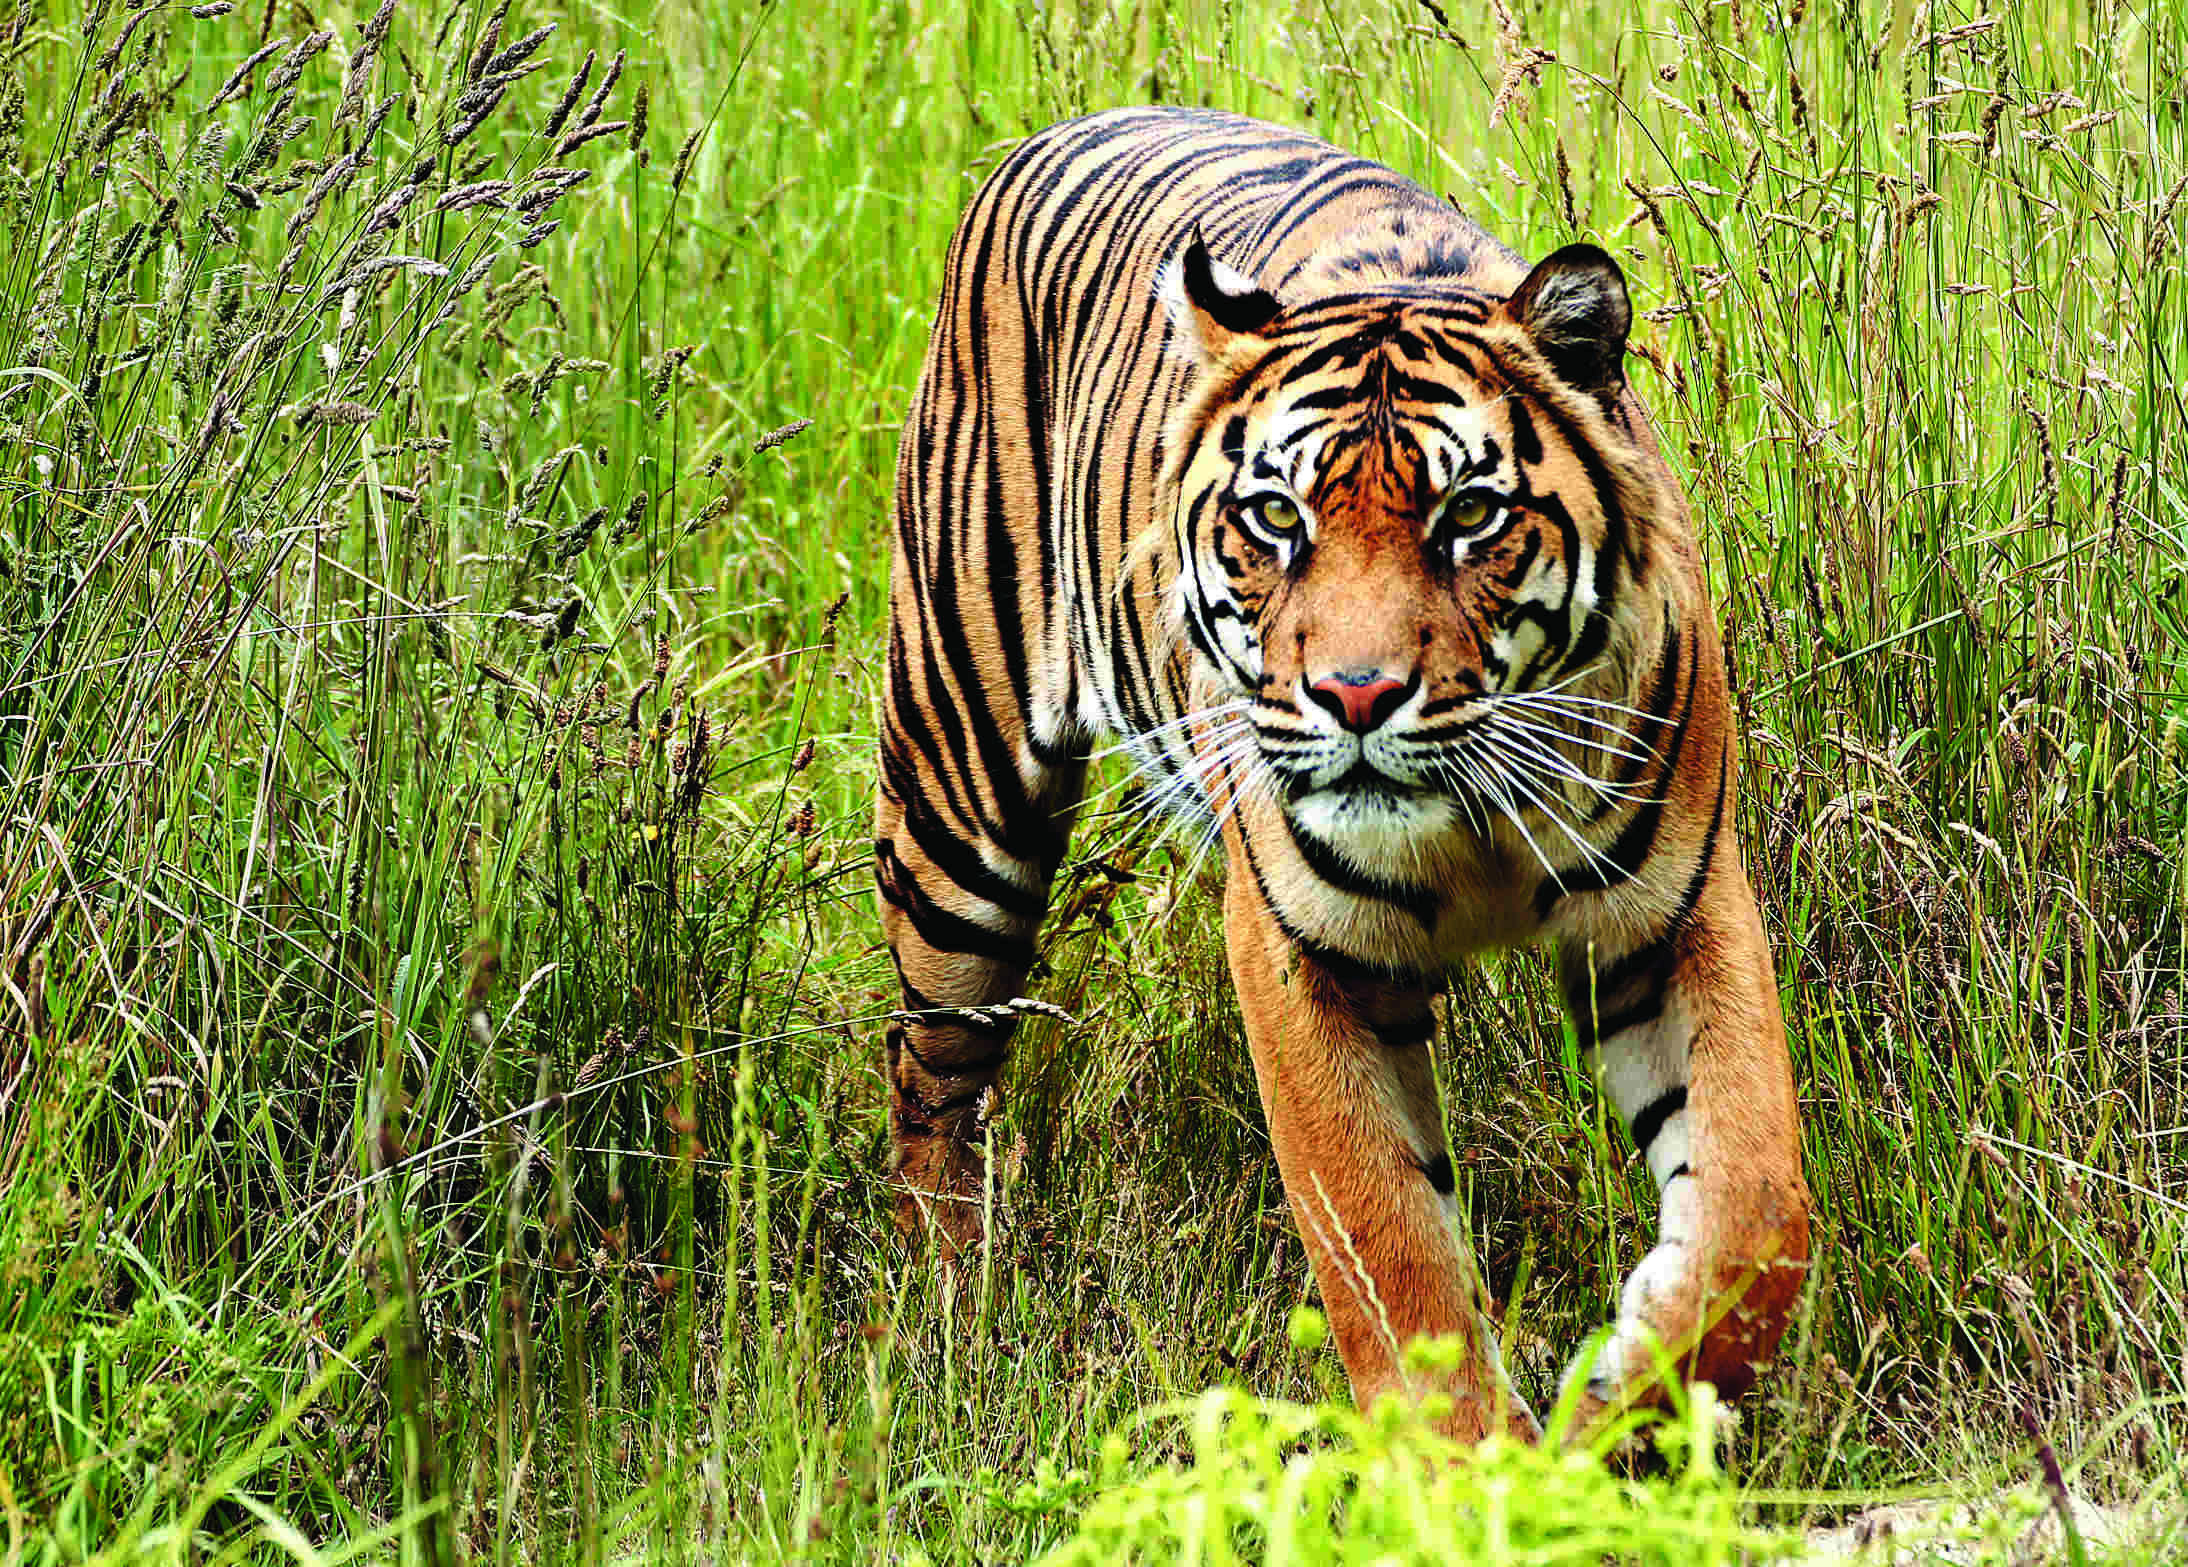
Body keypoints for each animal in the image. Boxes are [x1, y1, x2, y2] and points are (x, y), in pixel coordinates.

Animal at [874, 105, 1810, 1442]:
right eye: (1277, 518)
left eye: (1469, 516)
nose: (1356, 696)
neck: (1471, 820)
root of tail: (1057, 131)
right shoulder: (1300, 951)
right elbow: (1388, 1248)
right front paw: (1477, 1472)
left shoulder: (1671, 910)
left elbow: (1754, 1207)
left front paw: (1620, 1409)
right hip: (960, 802)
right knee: (932, 1071)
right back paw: (949, 1312)